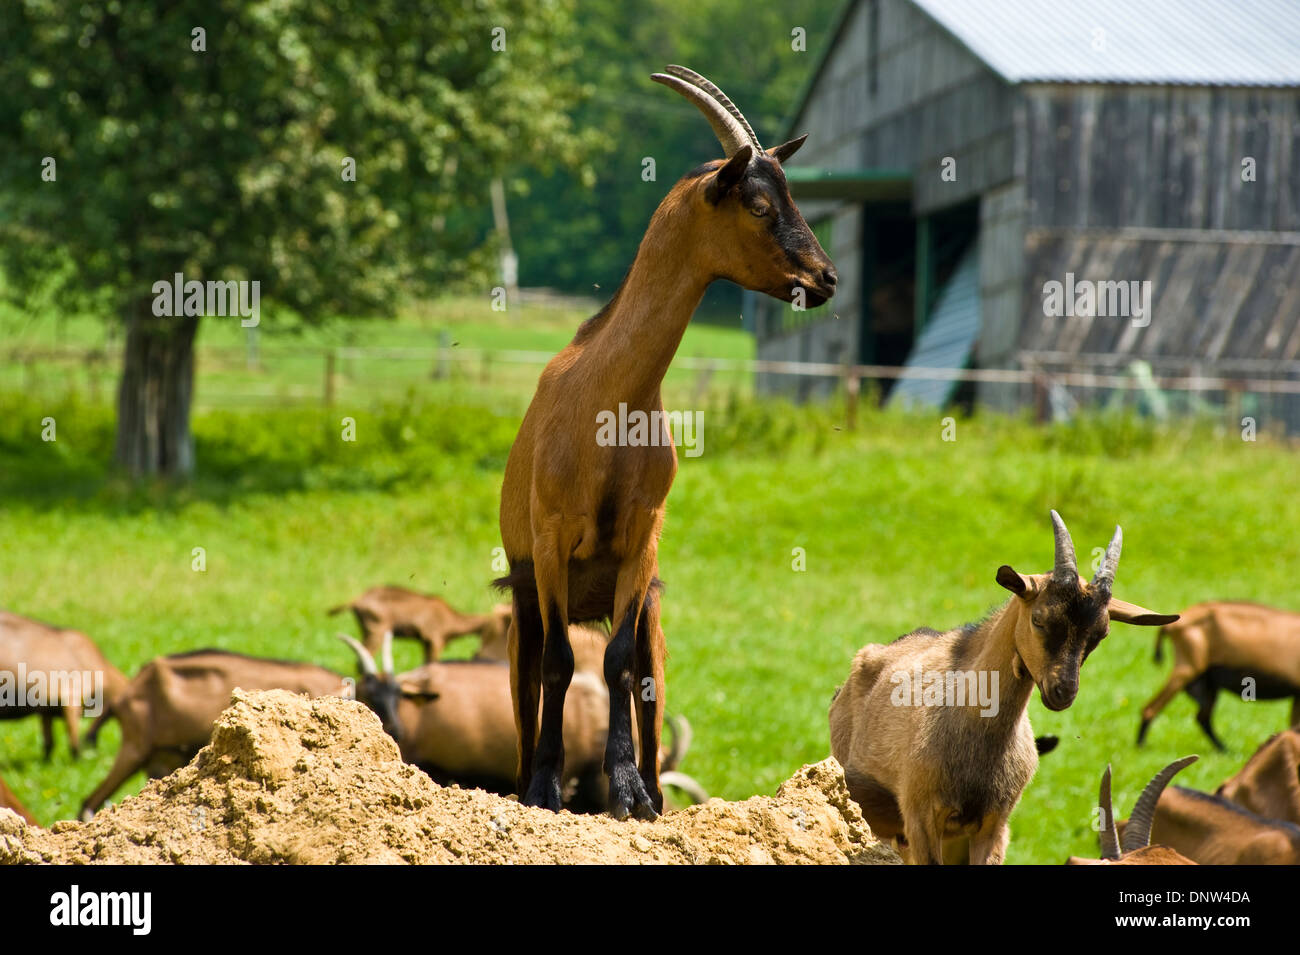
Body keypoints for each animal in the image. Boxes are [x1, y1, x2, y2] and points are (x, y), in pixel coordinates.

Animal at [79, 647, 398, 820]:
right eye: (373, 695)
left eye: (397, 693)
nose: (395, 727)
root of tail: (130, 689)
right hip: (134, 749)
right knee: (88, 803)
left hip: (161, 760)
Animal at [329, 586, 500, 663]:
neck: (451, 618)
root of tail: (356, 600)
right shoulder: (434, 640)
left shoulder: (425, 642)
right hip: (376, 630)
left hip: (366, 629)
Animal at [495, 64, 835, 820]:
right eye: (759, 205)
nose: (826, 278)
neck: (608, 399)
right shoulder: (551, 537)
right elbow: (562, 662)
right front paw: (544, 791)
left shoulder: (641, 541)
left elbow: (618, 663)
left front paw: (630, 792)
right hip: (522, 609)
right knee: (530, 687)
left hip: (653, 617)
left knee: (647, 691)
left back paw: (652, 787)